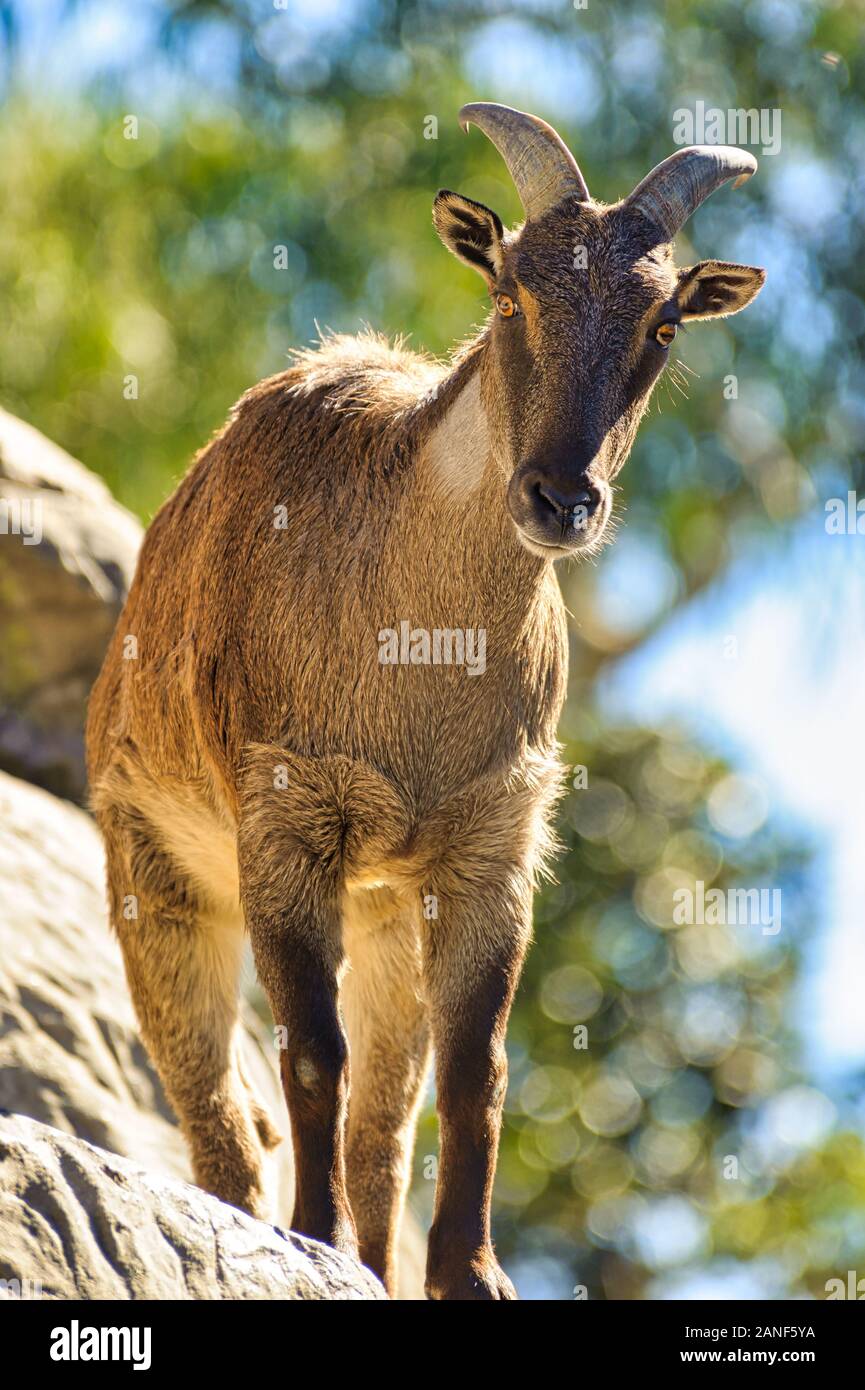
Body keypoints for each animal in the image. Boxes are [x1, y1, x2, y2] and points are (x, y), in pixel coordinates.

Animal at [86, 102, 767, 1295]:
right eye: (510, 294)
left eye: (664, 326)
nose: (560, 498)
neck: (417, 654)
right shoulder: (287, 818)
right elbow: (311, 1053)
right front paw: (308, 1239)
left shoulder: (486, 850)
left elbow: (473, 1069)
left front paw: (472, 1269)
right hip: (157, 875)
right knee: (214, 1104)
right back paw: (262, 1218)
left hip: (387, 914)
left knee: (384, 1118)